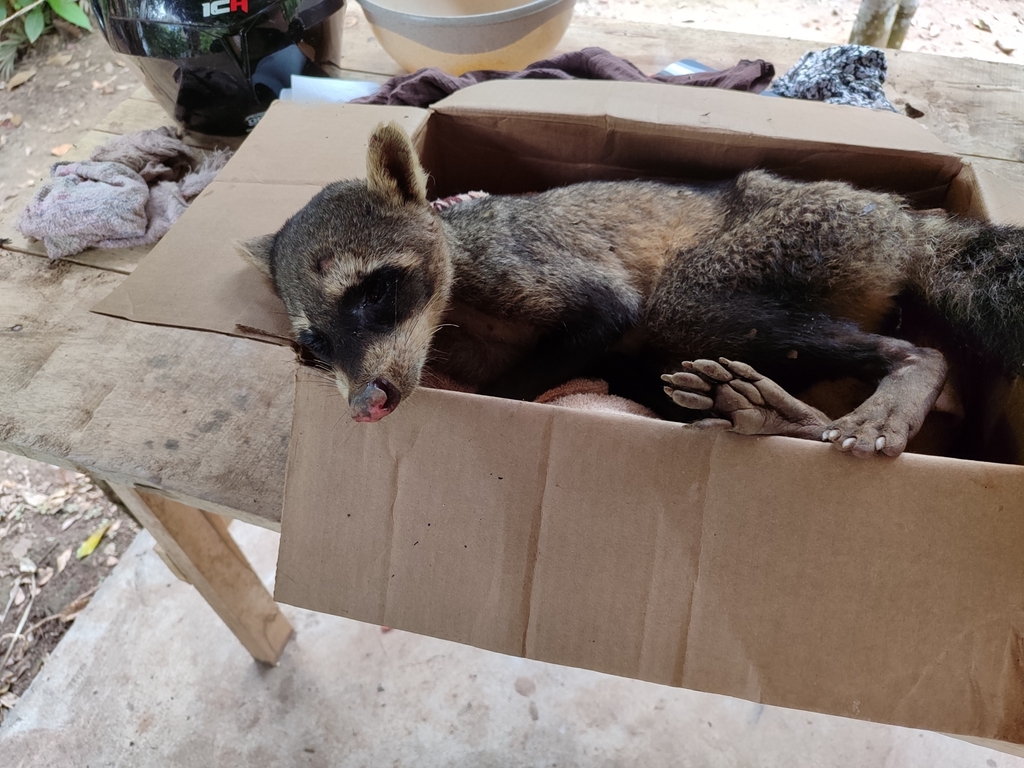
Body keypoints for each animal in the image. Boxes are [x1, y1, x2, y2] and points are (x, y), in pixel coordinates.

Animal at [239, 122, 1024, 458]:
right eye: (313, 348)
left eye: (374, 293)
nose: (363, 404)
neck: (446, 320)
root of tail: (901, 216)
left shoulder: (511, 261)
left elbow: (604, 312)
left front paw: (504, 394)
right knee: (650, 369)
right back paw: (782, 415)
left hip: (799, 233)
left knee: (682, 304)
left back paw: (905, 364)